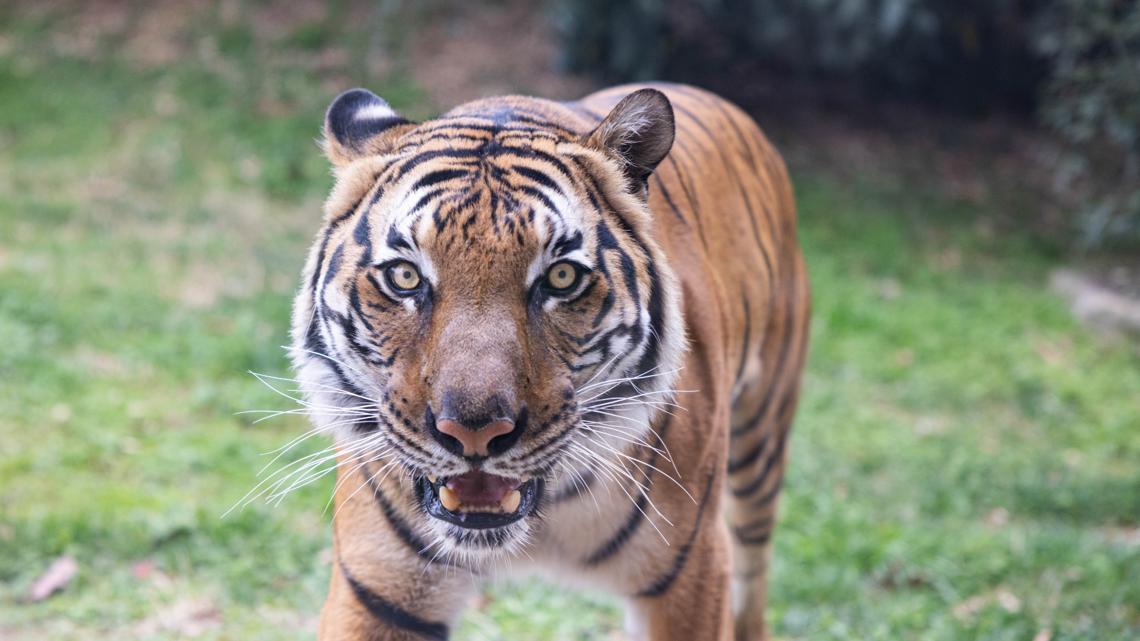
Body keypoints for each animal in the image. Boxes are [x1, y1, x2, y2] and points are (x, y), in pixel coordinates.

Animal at [289, 82, 809, 641]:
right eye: (405, 277)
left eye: (561, 278)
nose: (473, 433)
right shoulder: (378, 586)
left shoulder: (692, 571)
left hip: (760, 446)